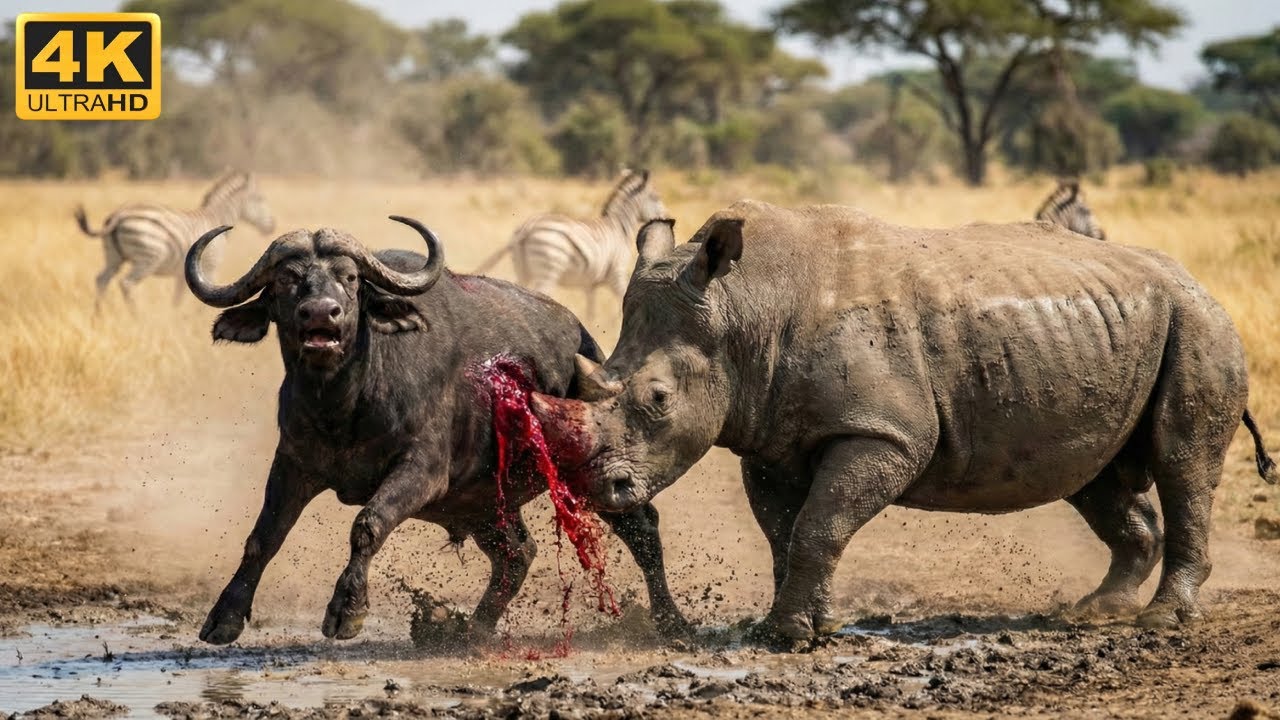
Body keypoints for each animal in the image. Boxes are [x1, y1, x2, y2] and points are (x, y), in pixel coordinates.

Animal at [531, 200, 1278, 643]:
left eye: (658, 400)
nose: (602, 490)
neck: (746, 307)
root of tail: (1193, 280)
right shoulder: (771, 438)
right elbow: (785, 533)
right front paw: (805, 626)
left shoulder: (882, 432)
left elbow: (819, 524)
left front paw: (785, 636)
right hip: (1110, 331)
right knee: (1093, 476)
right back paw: (1096, 611)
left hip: (1199, 324)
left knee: (1182, 465)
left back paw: (1160, 621)